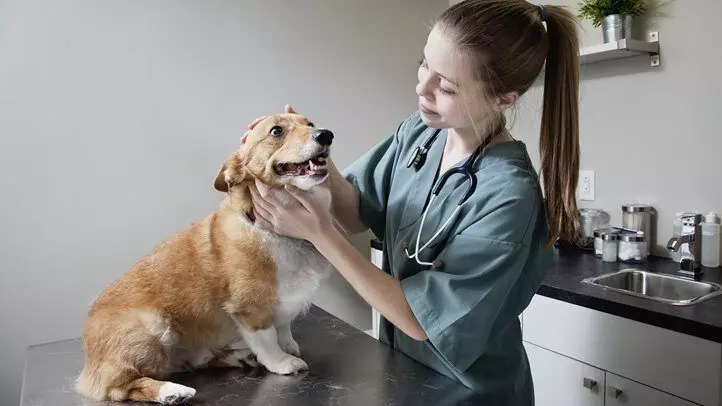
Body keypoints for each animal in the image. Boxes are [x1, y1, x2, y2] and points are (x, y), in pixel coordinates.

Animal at [74, 112, 334, 404]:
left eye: (310, 124)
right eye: (276, 131)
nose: (326, 135)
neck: (275, 231)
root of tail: (88, 367)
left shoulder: (283, 300)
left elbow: (284, 326)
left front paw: (288, 344)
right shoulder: (250, 308)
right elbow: (268, 340)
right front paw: (283, 362)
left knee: (197, 360)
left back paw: (239, 357)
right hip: (153, 326)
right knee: (121, 387)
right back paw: (173, 391)